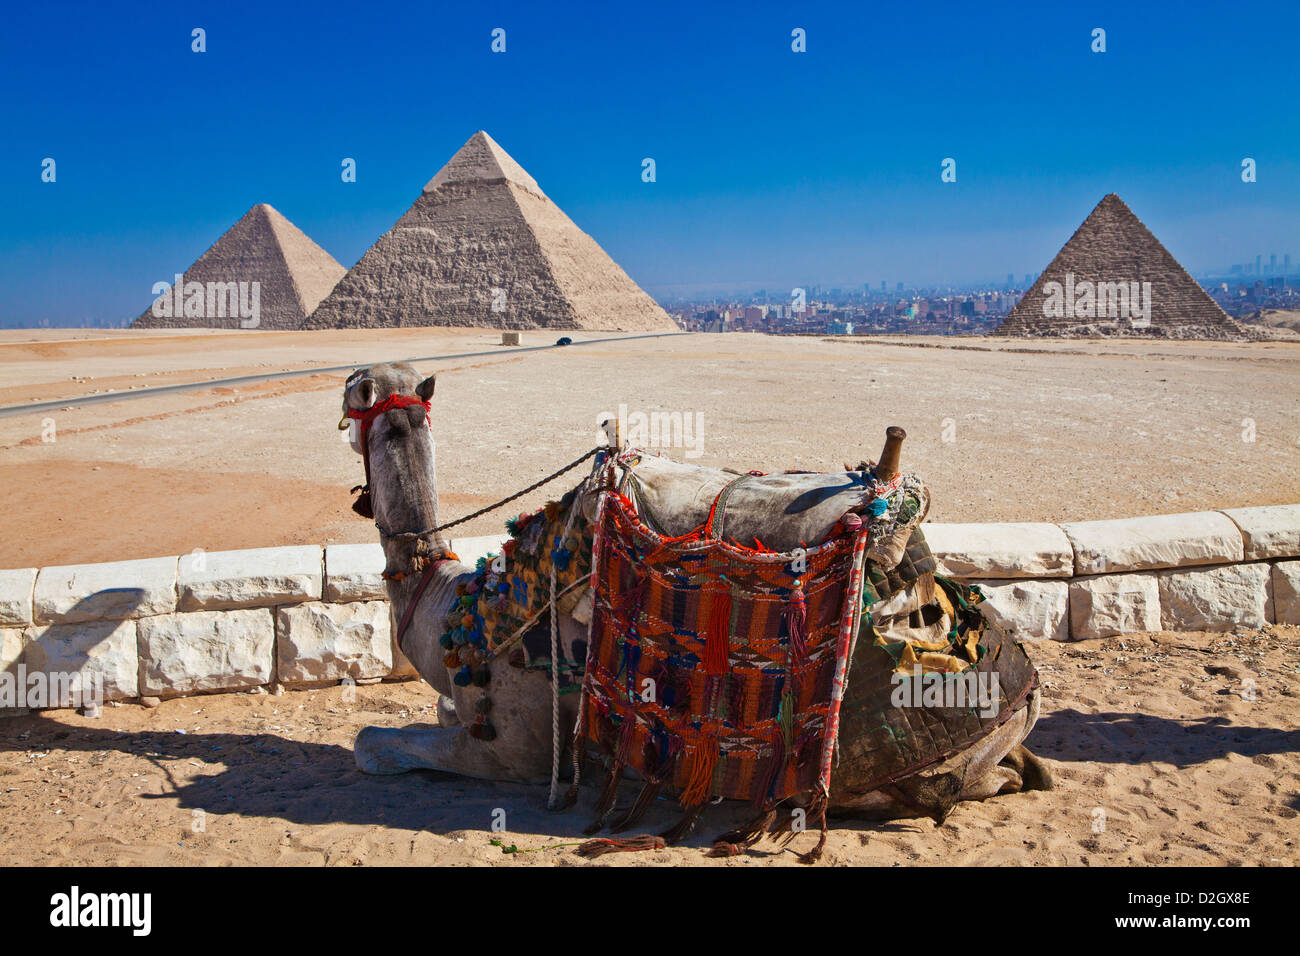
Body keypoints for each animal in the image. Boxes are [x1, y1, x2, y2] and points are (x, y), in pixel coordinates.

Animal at [342, 362, 1051, 831]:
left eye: (350, 399)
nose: (351, 382)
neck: (459, 612)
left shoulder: (513, 752)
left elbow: (370, 747)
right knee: (1020, 770)